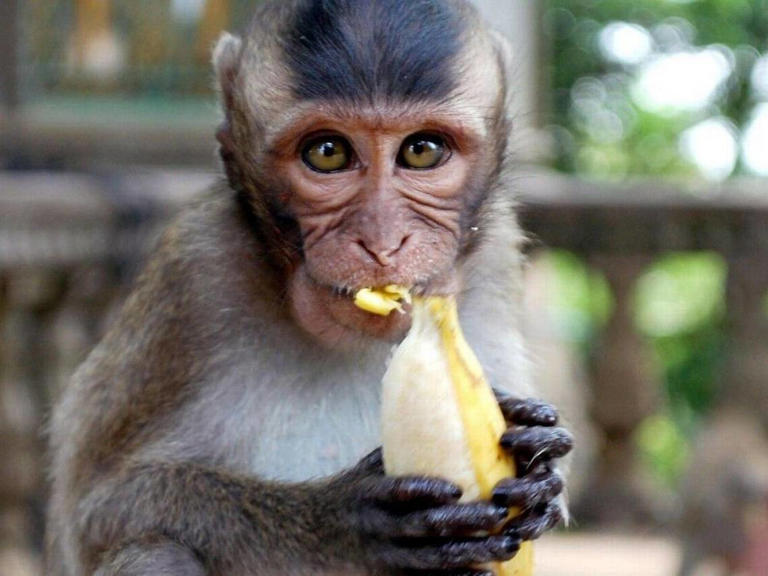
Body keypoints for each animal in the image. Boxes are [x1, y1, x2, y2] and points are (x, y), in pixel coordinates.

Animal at [45, 1, 573, 575]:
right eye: (327, 152)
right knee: (155, 550)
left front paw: (538, 454)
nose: (382, 241)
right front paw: (341, 521)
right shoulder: (193, 273)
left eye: (422, 151)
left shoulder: (497, 254)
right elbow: (100, 509)